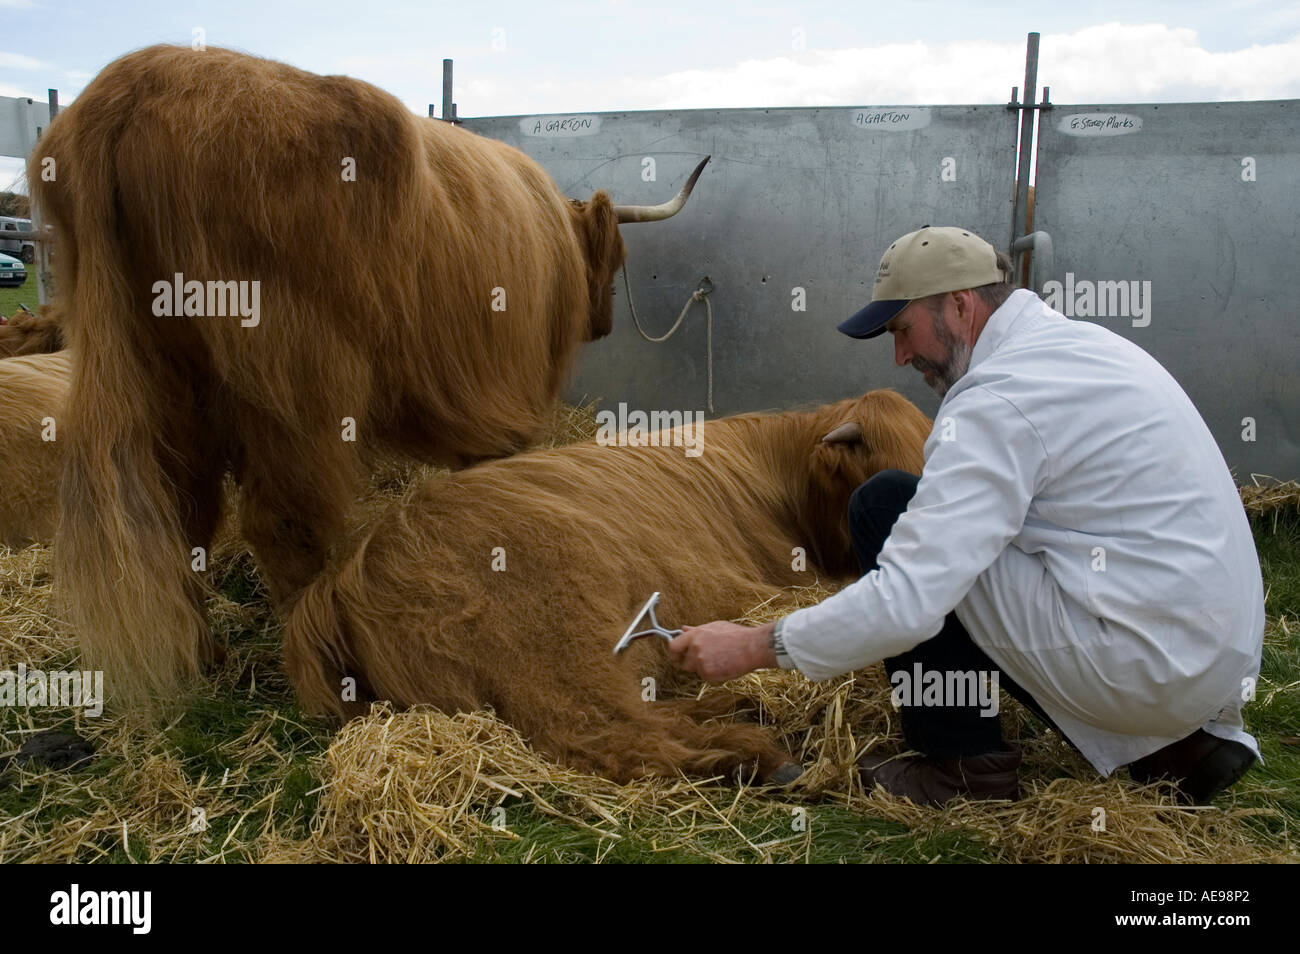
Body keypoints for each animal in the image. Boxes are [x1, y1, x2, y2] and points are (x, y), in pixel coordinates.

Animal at [29, 44, 706, 710]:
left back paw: (204, 656)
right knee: (281, 522)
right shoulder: (506, 391)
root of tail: (134, 83)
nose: (605, 322)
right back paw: (319, 673)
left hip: (156, 378)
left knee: (177, 513)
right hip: (294, 384)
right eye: (614, 261)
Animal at [283, 390, 932, 783]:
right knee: (607, 731)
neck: (782, 478)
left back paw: (737, 712)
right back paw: (749, 753)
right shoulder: (754, 589)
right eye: (885, 472)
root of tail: (353, 568)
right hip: (564, 641)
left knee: (645, 710)